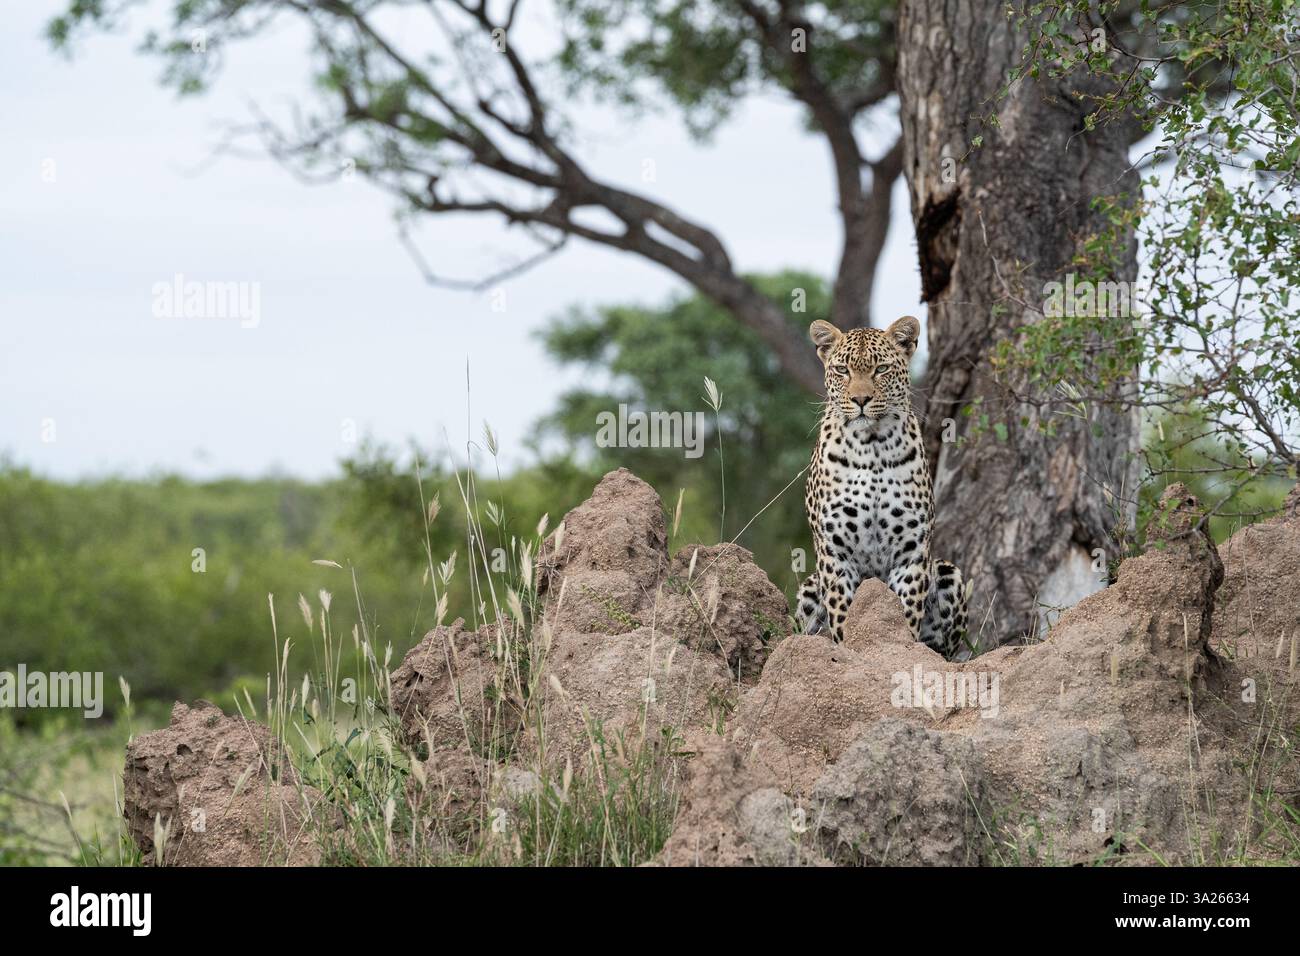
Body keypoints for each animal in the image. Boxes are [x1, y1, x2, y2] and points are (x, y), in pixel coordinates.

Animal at [795, 315, 970, 656]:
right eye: (842, 370)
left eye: (882, 369)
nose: (860, 400)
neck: (872, 445)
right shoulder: (836, 552)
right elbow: (843, 615)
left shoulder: (911, 551)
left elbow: (903, 614)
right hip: (809, 589)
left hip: (948, 572)